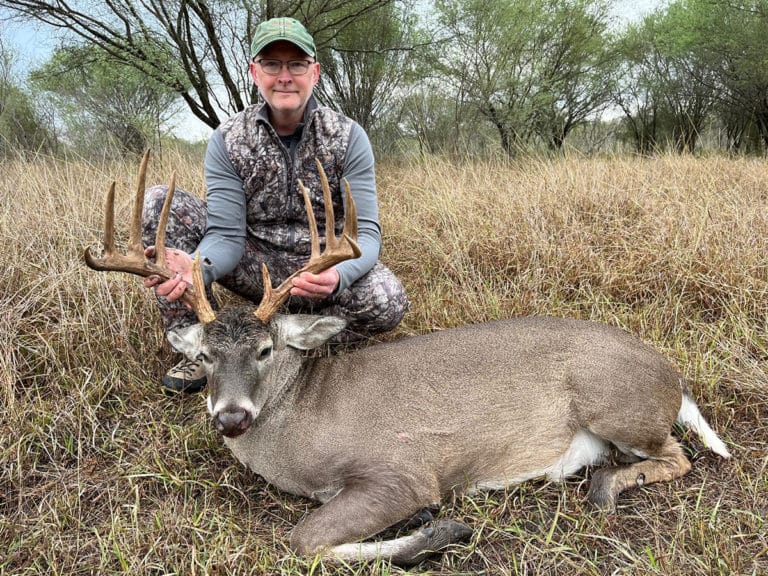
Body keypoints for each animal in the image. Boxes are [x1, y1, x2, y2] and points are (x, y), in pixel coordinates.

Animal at [84, 152, 732, 566]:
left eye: (266, 350)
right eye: (206, 357)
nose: (231, 416)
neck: (301, 424)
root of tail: (671, 373)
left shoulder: (403, 472)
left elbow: (304, 540)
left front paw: (440, 528)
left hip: (614, 403)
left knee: (679, 457)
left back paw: (603, 489)